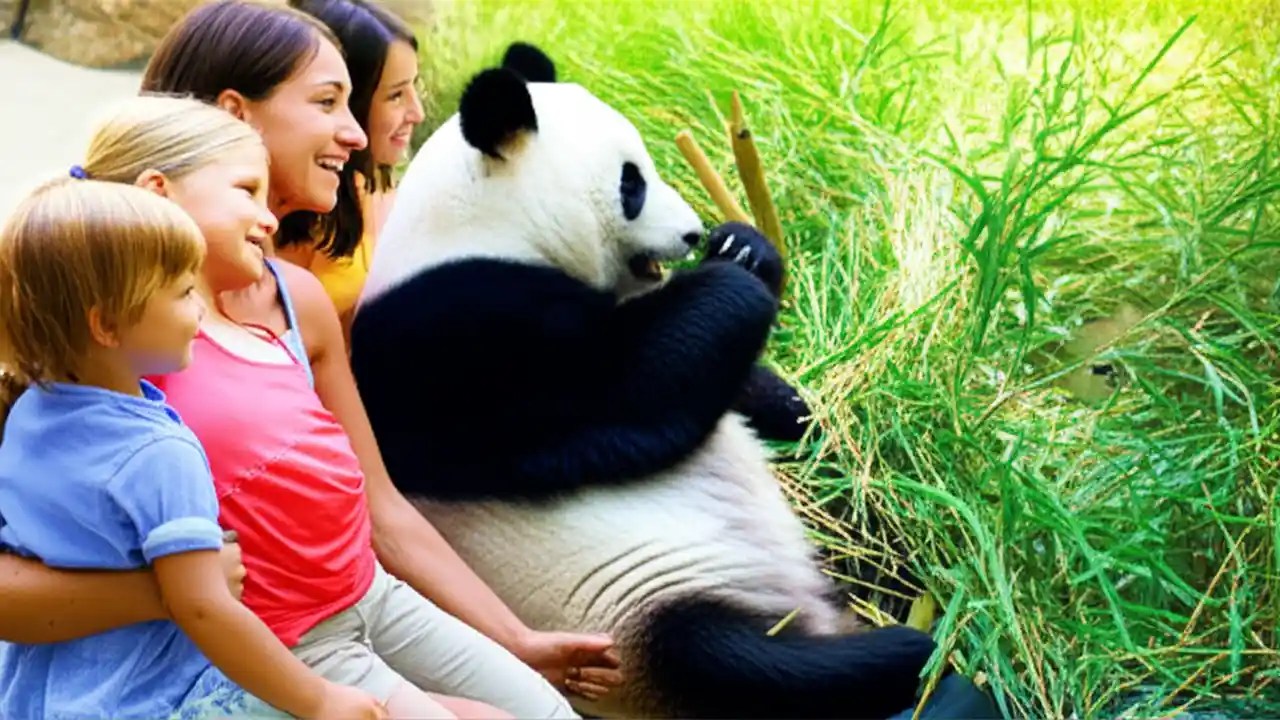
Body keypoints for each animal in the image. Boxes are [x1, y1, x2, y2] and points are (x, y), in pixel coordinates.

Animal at [350, 43, 992, 720]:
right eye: (631, 183)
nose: (692, 233)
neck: (476, 225)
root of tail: (806, 607)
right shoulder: (449, 343)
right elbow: (617, 390)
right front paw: (731, 278)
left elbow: (723, 379)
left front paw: (744, 250)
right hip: (627, 612)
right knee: (746, 665)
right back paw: (911, 649)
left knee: (862, 509)